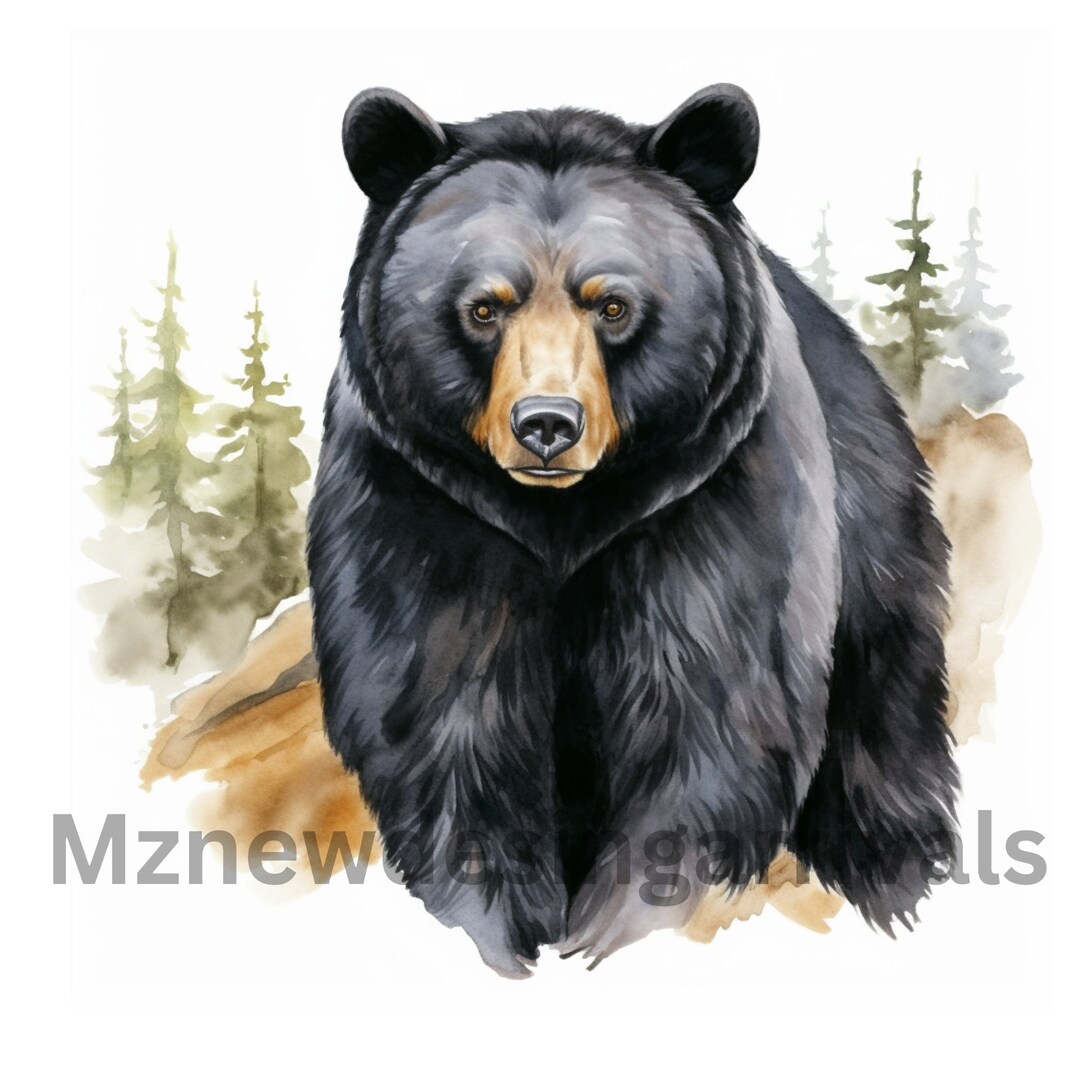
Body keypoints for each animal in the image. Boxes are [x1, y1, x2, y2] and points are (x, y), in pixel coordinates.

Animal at [308, 84, 960, 977]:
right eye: (484, 307)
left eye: (612, 304)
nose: (547, 424)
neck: (562, 521)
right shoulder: (420, 510)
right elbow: (447, 724)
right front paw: (503, 929)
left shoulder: (710, 503)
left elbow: (709, 723)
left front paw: (614, 929)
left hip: (874, 553)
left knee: (883, 745)